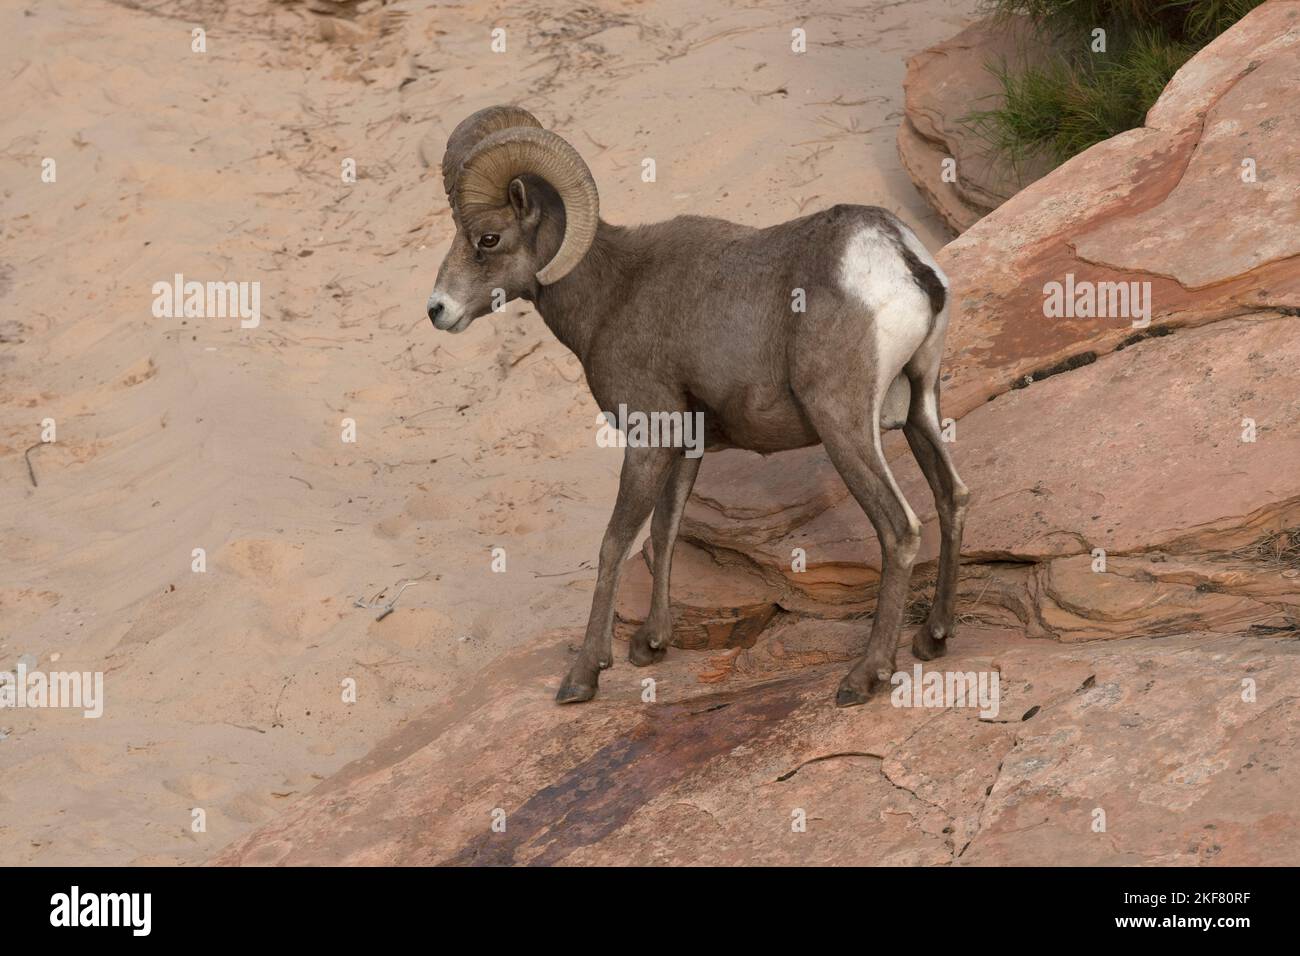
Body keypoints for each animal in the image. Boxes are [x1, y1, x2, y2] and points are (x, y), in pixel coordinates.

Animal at [426, 105, 970, 707]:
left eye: (488, 238)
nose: (437, 310)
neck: (612, 294)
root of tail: (900, 260)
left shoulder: (648, 439)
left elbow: (614, 543)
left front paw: (583, 676)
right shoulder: (688, 445)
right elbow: (665, 530)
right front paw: (651, 646)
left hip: (844, 425)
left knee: (899, 529)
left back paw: (863, 677)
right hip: (922, 408)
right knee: (952, 498)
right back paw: (933, 638)